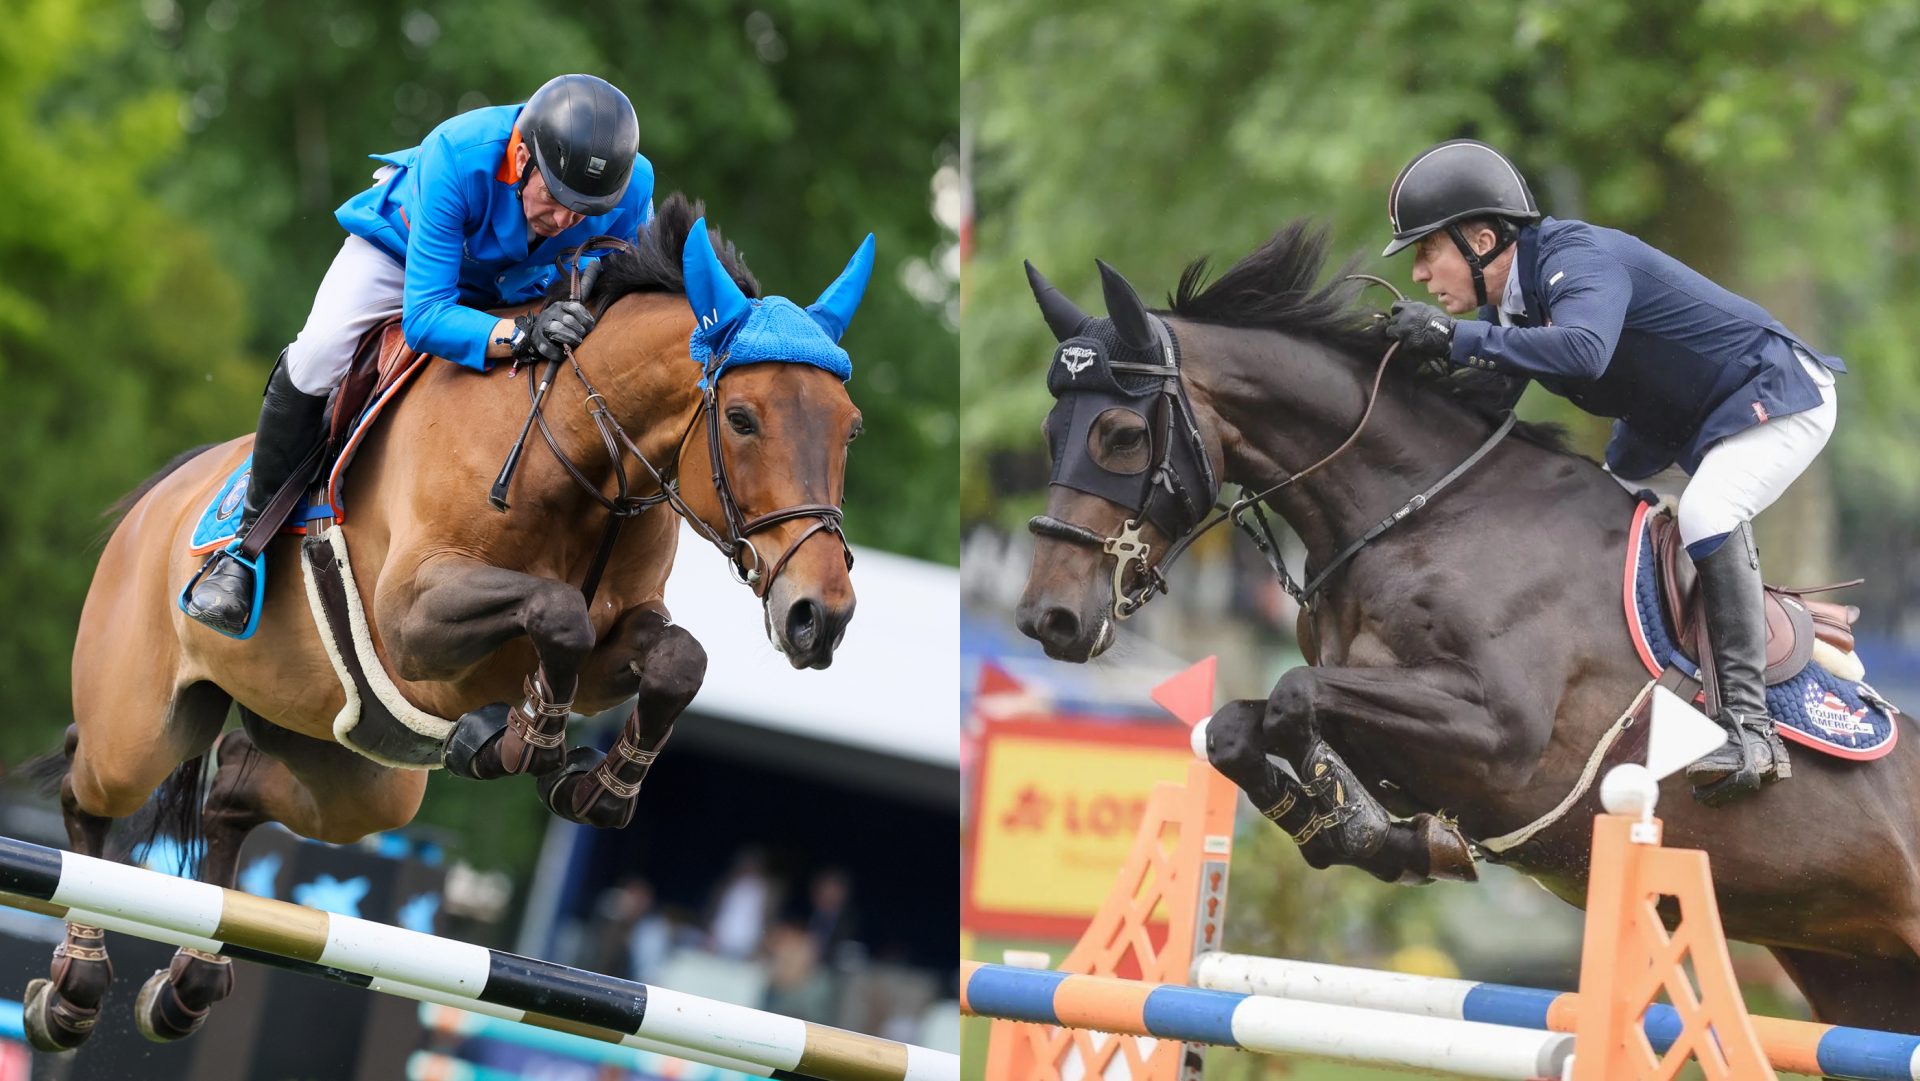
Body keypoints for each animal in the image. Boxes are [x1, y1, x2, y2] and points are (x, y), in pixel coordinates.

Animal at [23, 194, 874, 1051]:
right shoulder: (413, 619)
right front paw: (524, 742)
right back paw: (73, 990)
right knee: (89, 785)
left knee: (233, 785)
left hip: (355, 777)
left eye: (851, 427)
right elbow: (557, 613)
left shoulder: (615, 642)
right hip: (141, 731)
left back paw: (187, 984)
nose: (820, 617)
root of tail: (160, 499)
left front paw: (592, 784)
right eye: (741, 417)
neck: (575, 456)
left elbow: (676, 658)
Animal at [1013, 222, 1920, 1036]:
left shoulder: (1501, 737)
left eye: (1121, 434)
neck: (1420, 512)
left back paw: (1747, 749)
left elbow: (1293, 693)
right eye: (1050, 433)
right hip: (1858, 971)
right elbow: (1239, 725)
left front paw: (1364, 827)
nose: (1047, 618)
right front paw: (1382, 835)